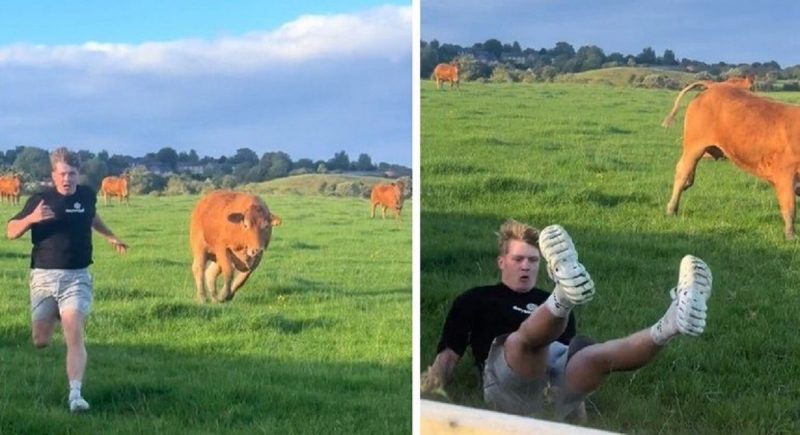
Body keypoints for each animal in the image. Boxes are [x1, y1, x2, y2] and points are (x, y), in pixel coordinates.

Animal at [662, 85, 800, 239]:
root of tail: (712, 86)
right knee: (682, 171)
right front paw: (791, 235)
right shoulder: (786, 174)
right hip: (694, 146)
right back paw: (671, 209)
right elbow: (790, 207)